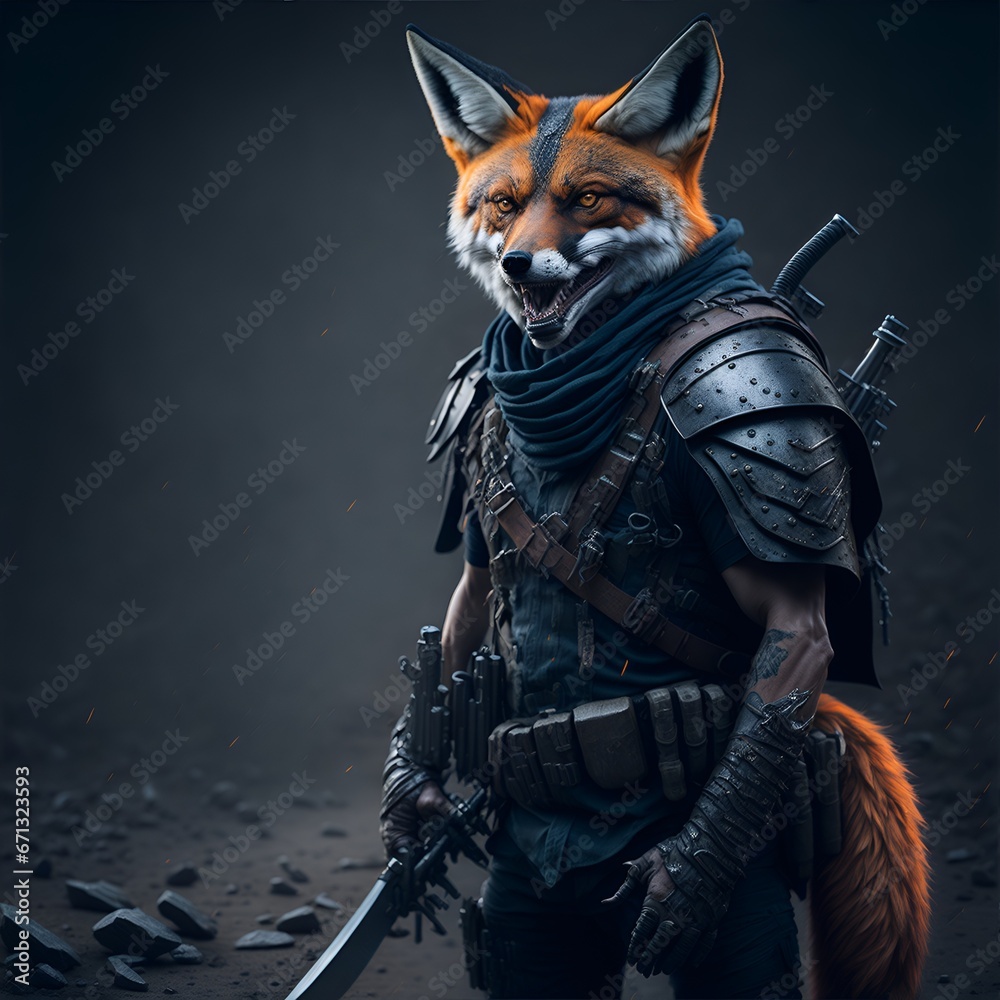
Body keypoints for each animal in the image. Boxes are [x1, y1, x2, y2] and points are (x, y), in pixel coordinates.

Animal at [406, 16, 930, 1000]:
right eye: (502, 204)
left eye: (588, 200)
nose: (517, 262)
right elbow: (473, 593)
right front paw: (411, 803)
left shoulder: (757, 398)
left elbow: (792, 628)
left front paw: (680, 882)